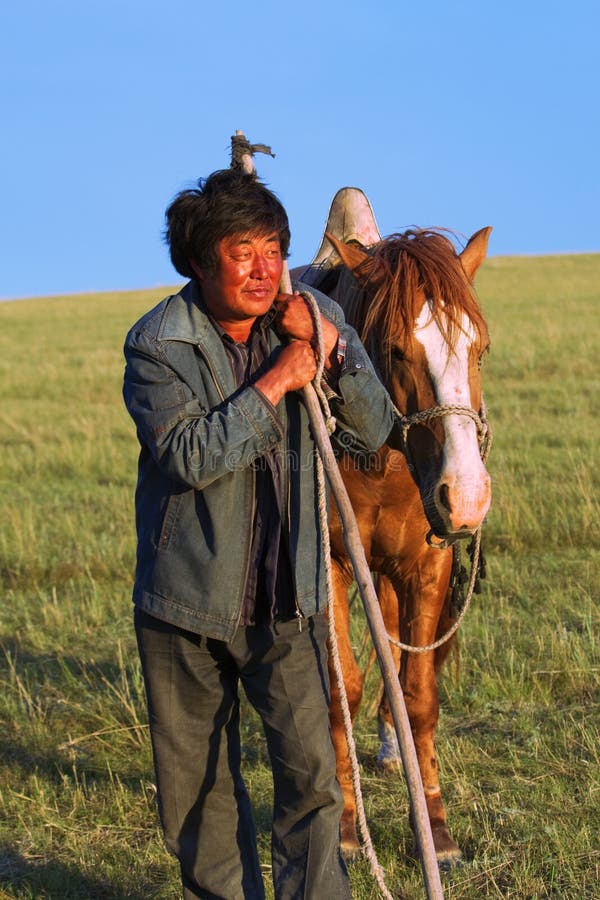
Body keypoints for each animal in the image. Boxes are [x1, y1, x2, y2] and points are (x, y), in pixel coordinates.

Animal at [298, 190, 492, 864]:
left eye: (479, 350)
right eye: (400, 350)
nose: (467, 497)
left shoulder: (427, 565)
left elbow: (418, 694)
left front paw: (435, 830)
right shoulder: (330, 565)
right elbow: (342, 691)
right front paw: (347, 827)